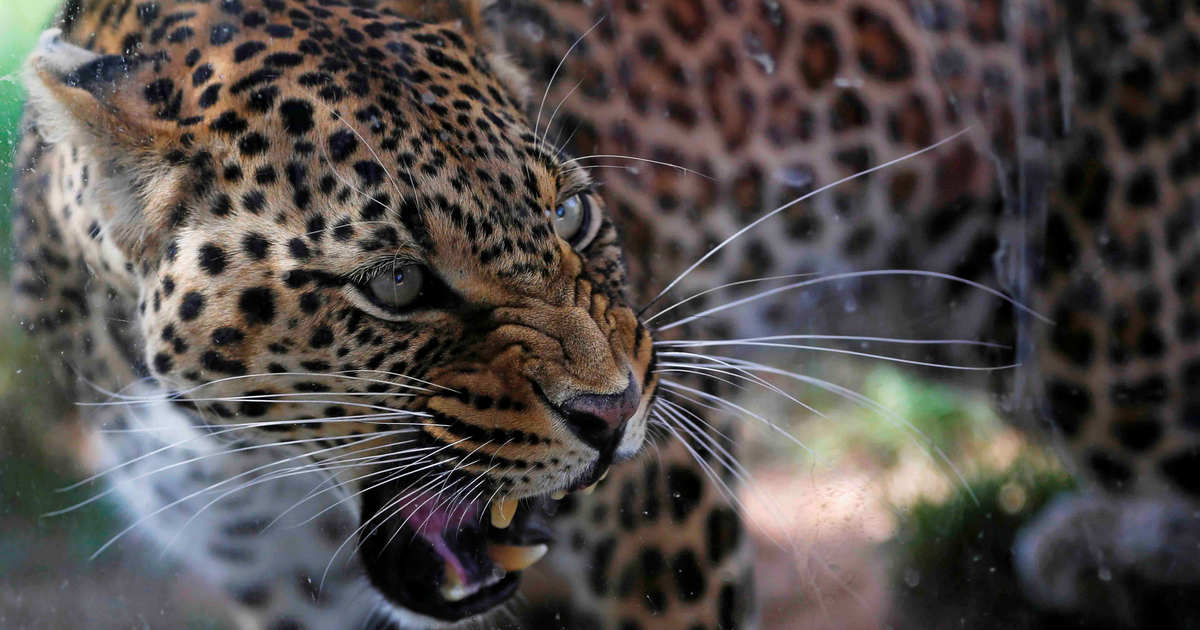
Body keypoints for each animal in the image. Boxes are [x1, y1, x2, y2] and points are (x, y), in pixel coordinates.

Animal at [9, 1, 1200, 630]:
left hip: (1112, 346)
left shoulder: (667, 515)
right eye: (394, 284)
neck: (243, 465)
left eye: (572, 214)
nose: (615, 411)